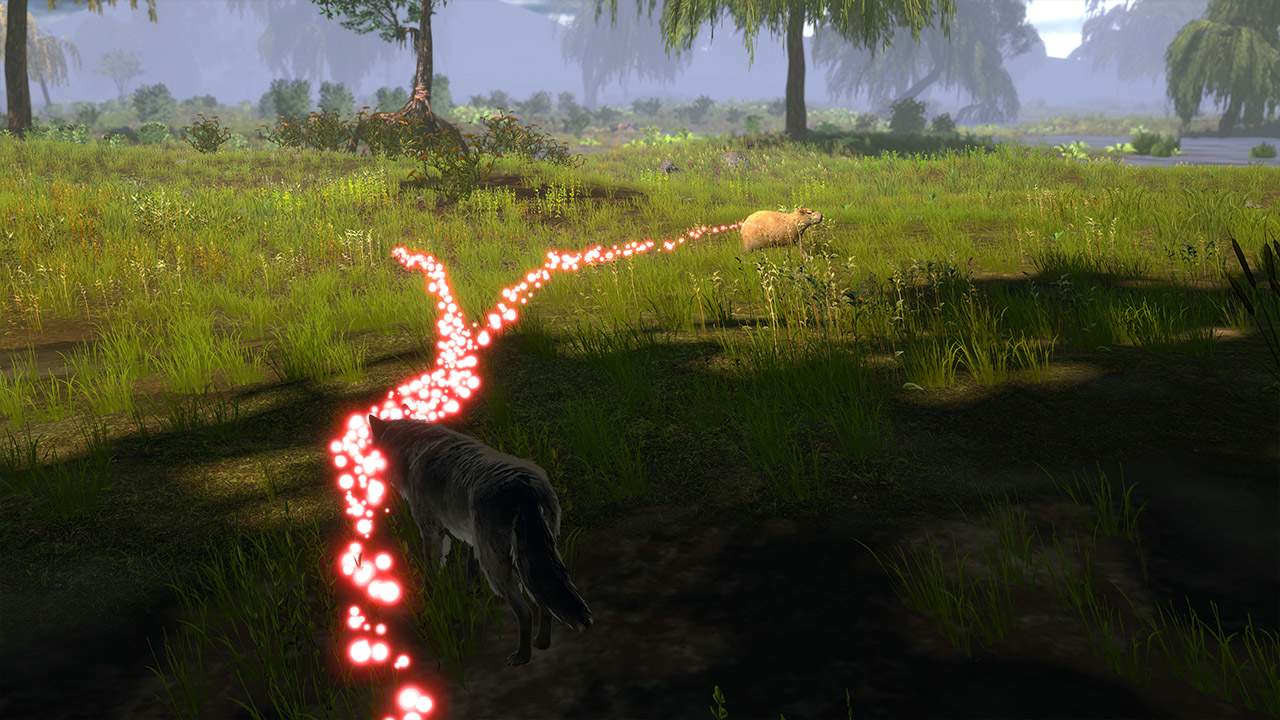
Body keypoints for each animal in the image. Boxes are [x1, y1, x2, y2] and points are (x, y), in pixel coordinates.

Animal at [366, 415, 593, 665]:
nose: (369, 470)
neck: (412, 449)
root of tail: (524, 486)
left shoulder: (431, 533)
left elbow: (431, 572)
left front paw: (429, 599)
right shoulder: (470, 538)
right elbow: (469, 569)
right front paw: (471, 592)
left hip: (497, 568)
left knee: (525, 612)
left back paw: (522, 656)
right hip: (529, 561)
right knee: (543, 602)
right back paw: (541, 643)